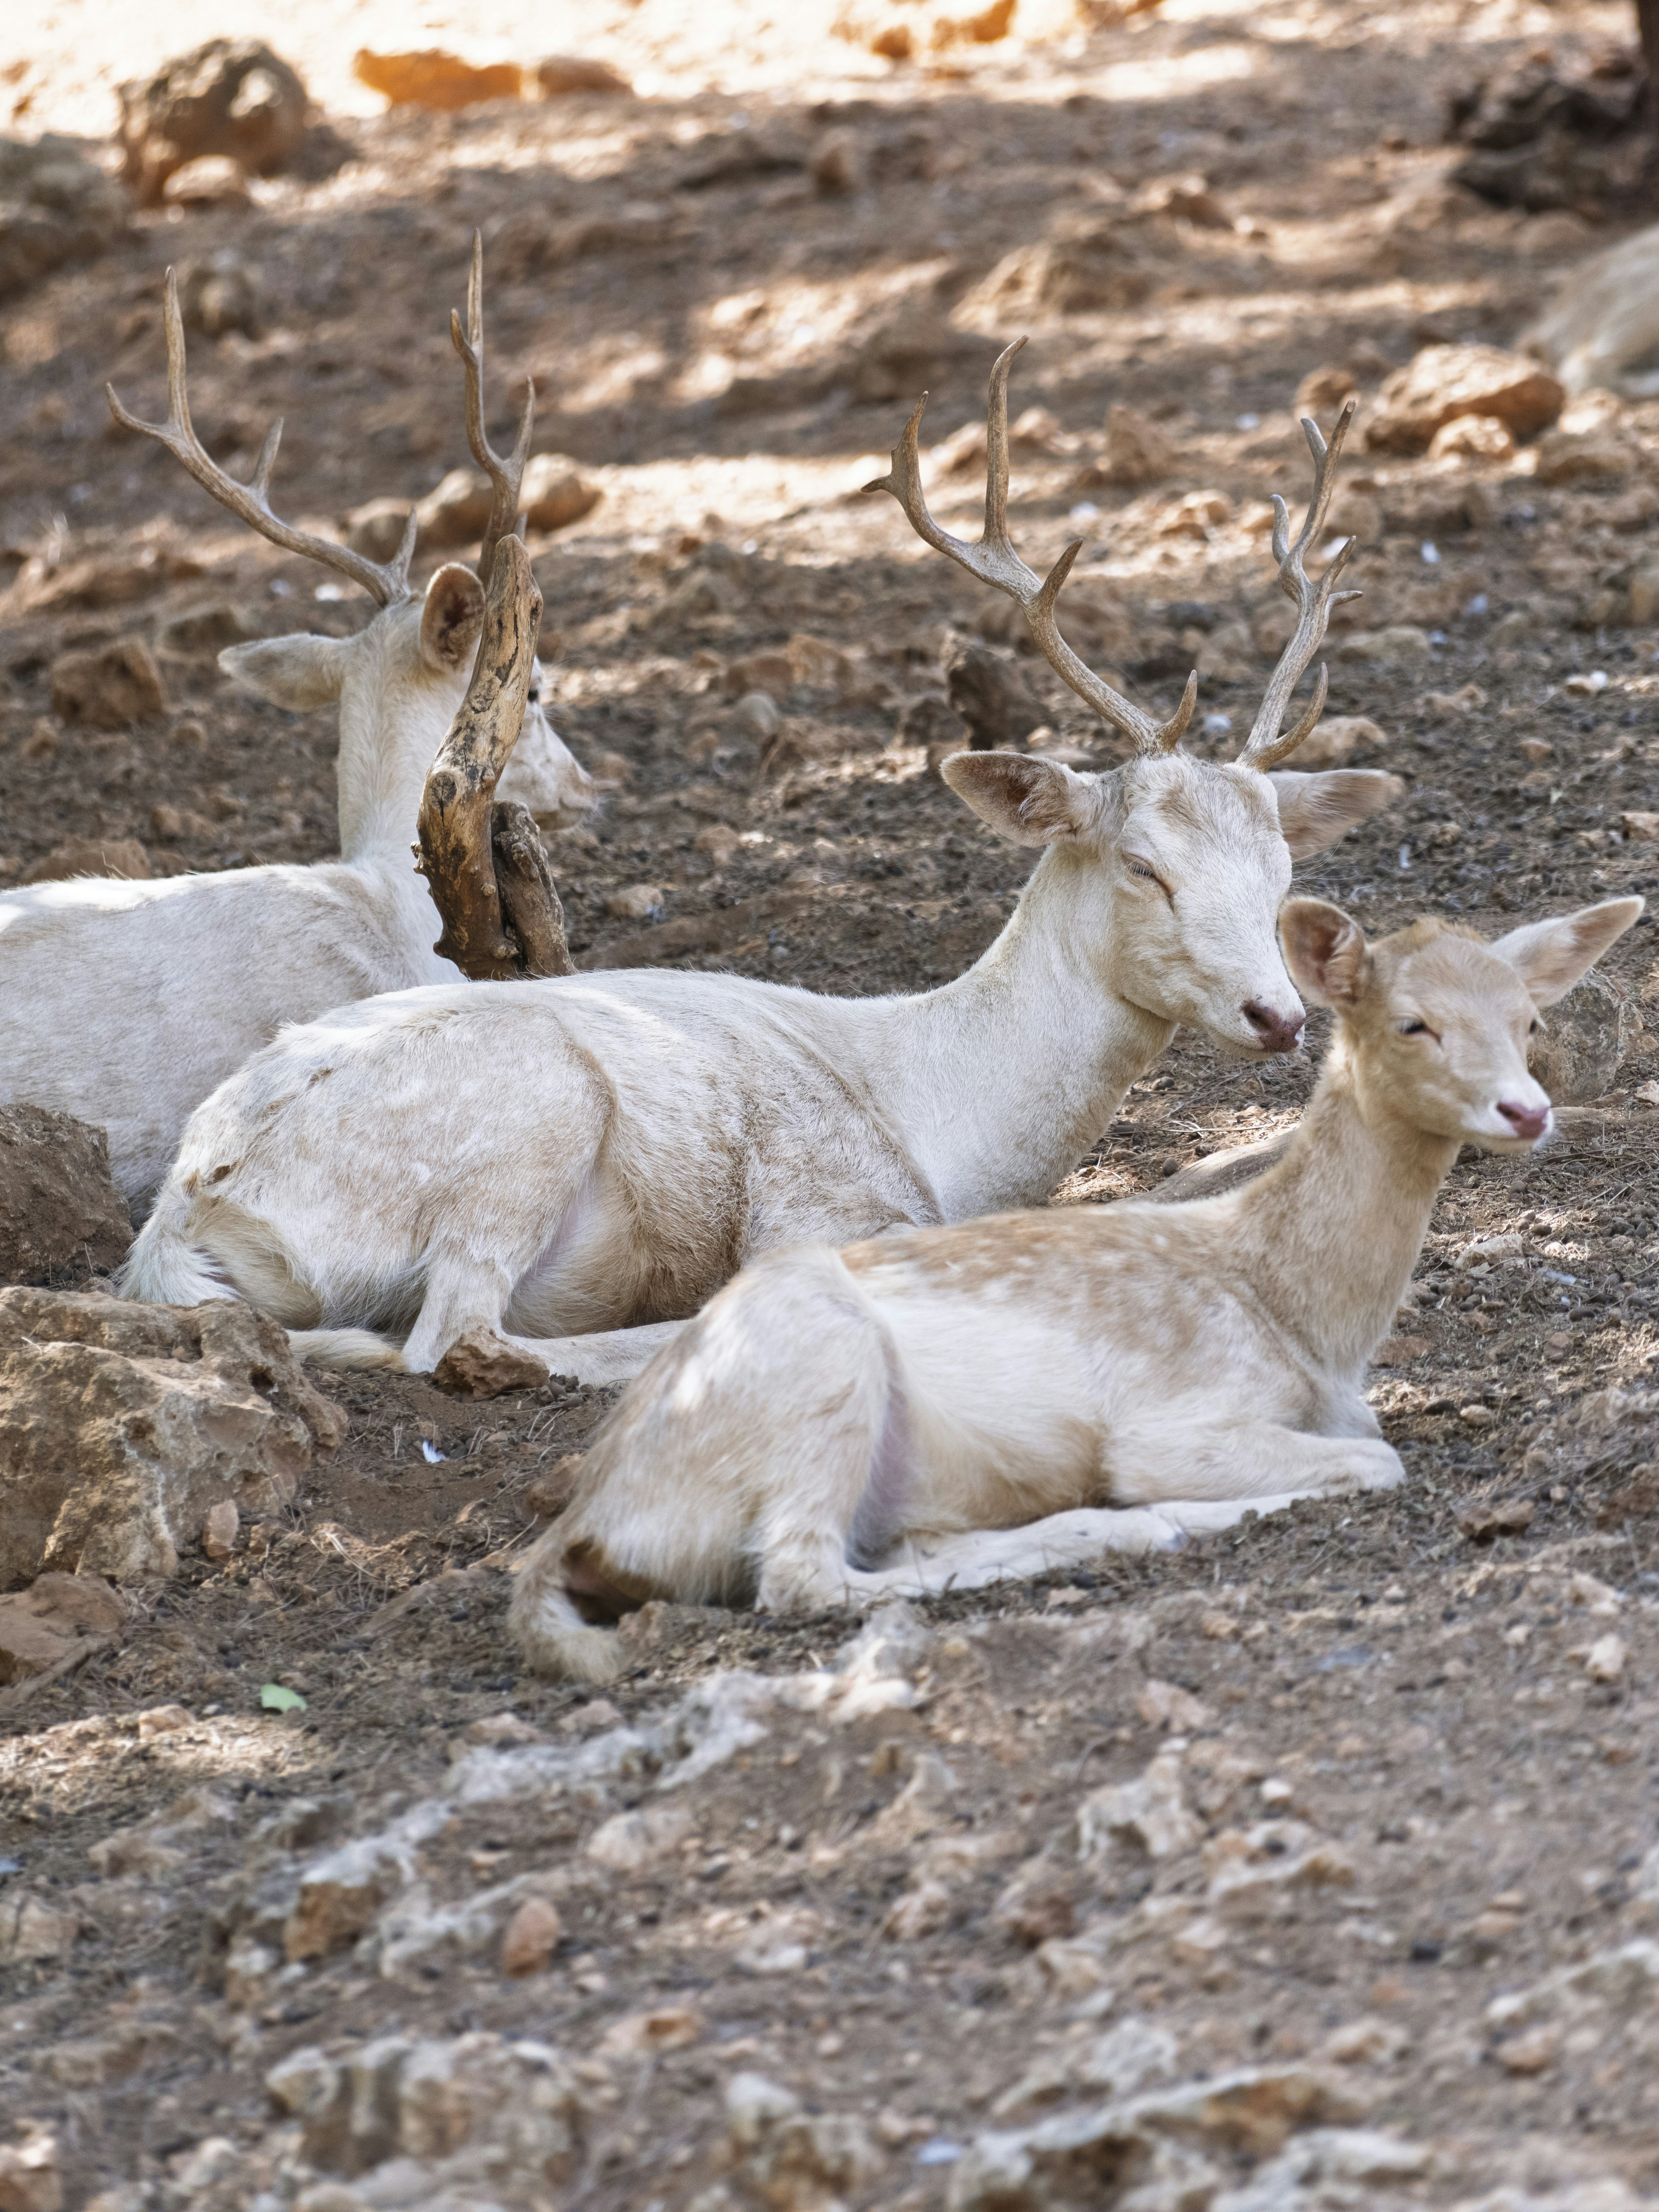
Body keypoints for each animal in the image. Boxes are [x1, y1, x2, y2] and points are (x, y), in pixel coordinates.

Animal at [121, 346, 1405, 1389]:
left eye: (1283, 865)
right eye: (1142, 864)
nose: (1281, 1016)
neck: (943, 1120)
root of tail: (188, 1206)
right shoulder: (813, 1200)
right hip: (526, 1120)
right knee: (458, 1339)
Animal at [509, 891, 1642, 1680]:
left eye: (1530, 1019)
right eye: (1413, 1023)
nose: (1528, 1110)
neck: (1301, 1318)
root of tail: (584, 1525)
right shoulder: (1179, 1415)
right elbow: (1377, 1462)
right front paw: (1180, 1503)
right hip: (813, 1370)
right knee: (800, 1575)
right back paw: (1127, 1526)